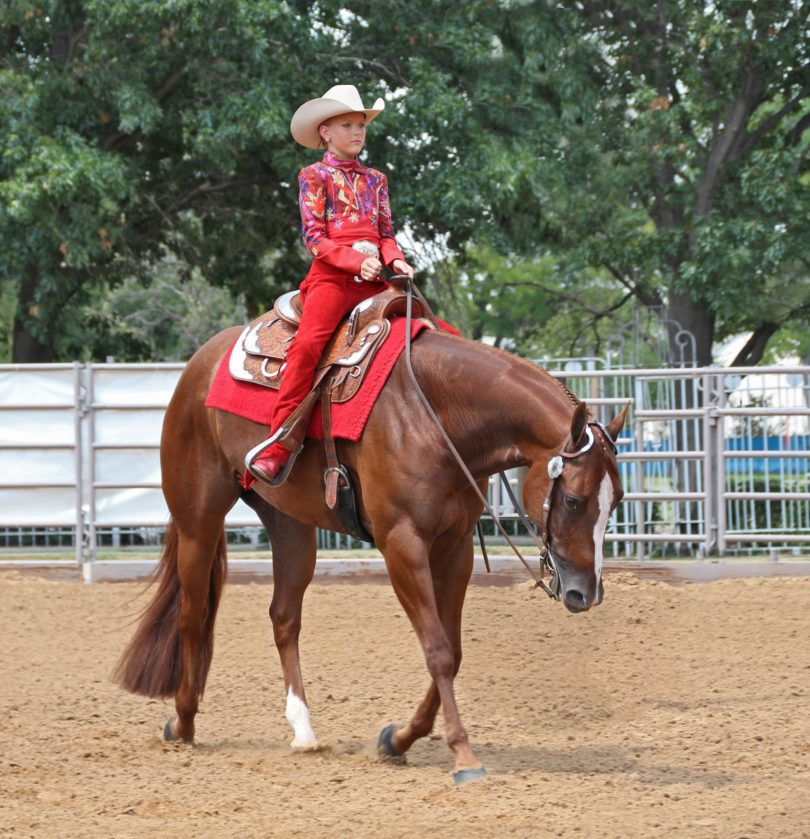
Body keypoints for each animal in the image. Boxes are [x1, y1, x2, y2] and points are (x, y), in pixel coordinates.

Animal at [115, 320, 627, 784]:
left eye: (617, 500)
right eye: (575, 499)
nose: (585, 593)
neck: (434, 414)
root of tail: (200, 364)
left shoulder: (455, 546)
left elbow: (454, 650)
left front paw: (396, 740)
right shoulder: (402, 543)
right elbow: (438, 649)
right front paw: (463, 756)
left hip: (291, 526)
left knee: (284, 616)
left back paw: (303, 730)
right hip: (198, 520)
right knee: (192, 613)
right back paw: (183, 720)